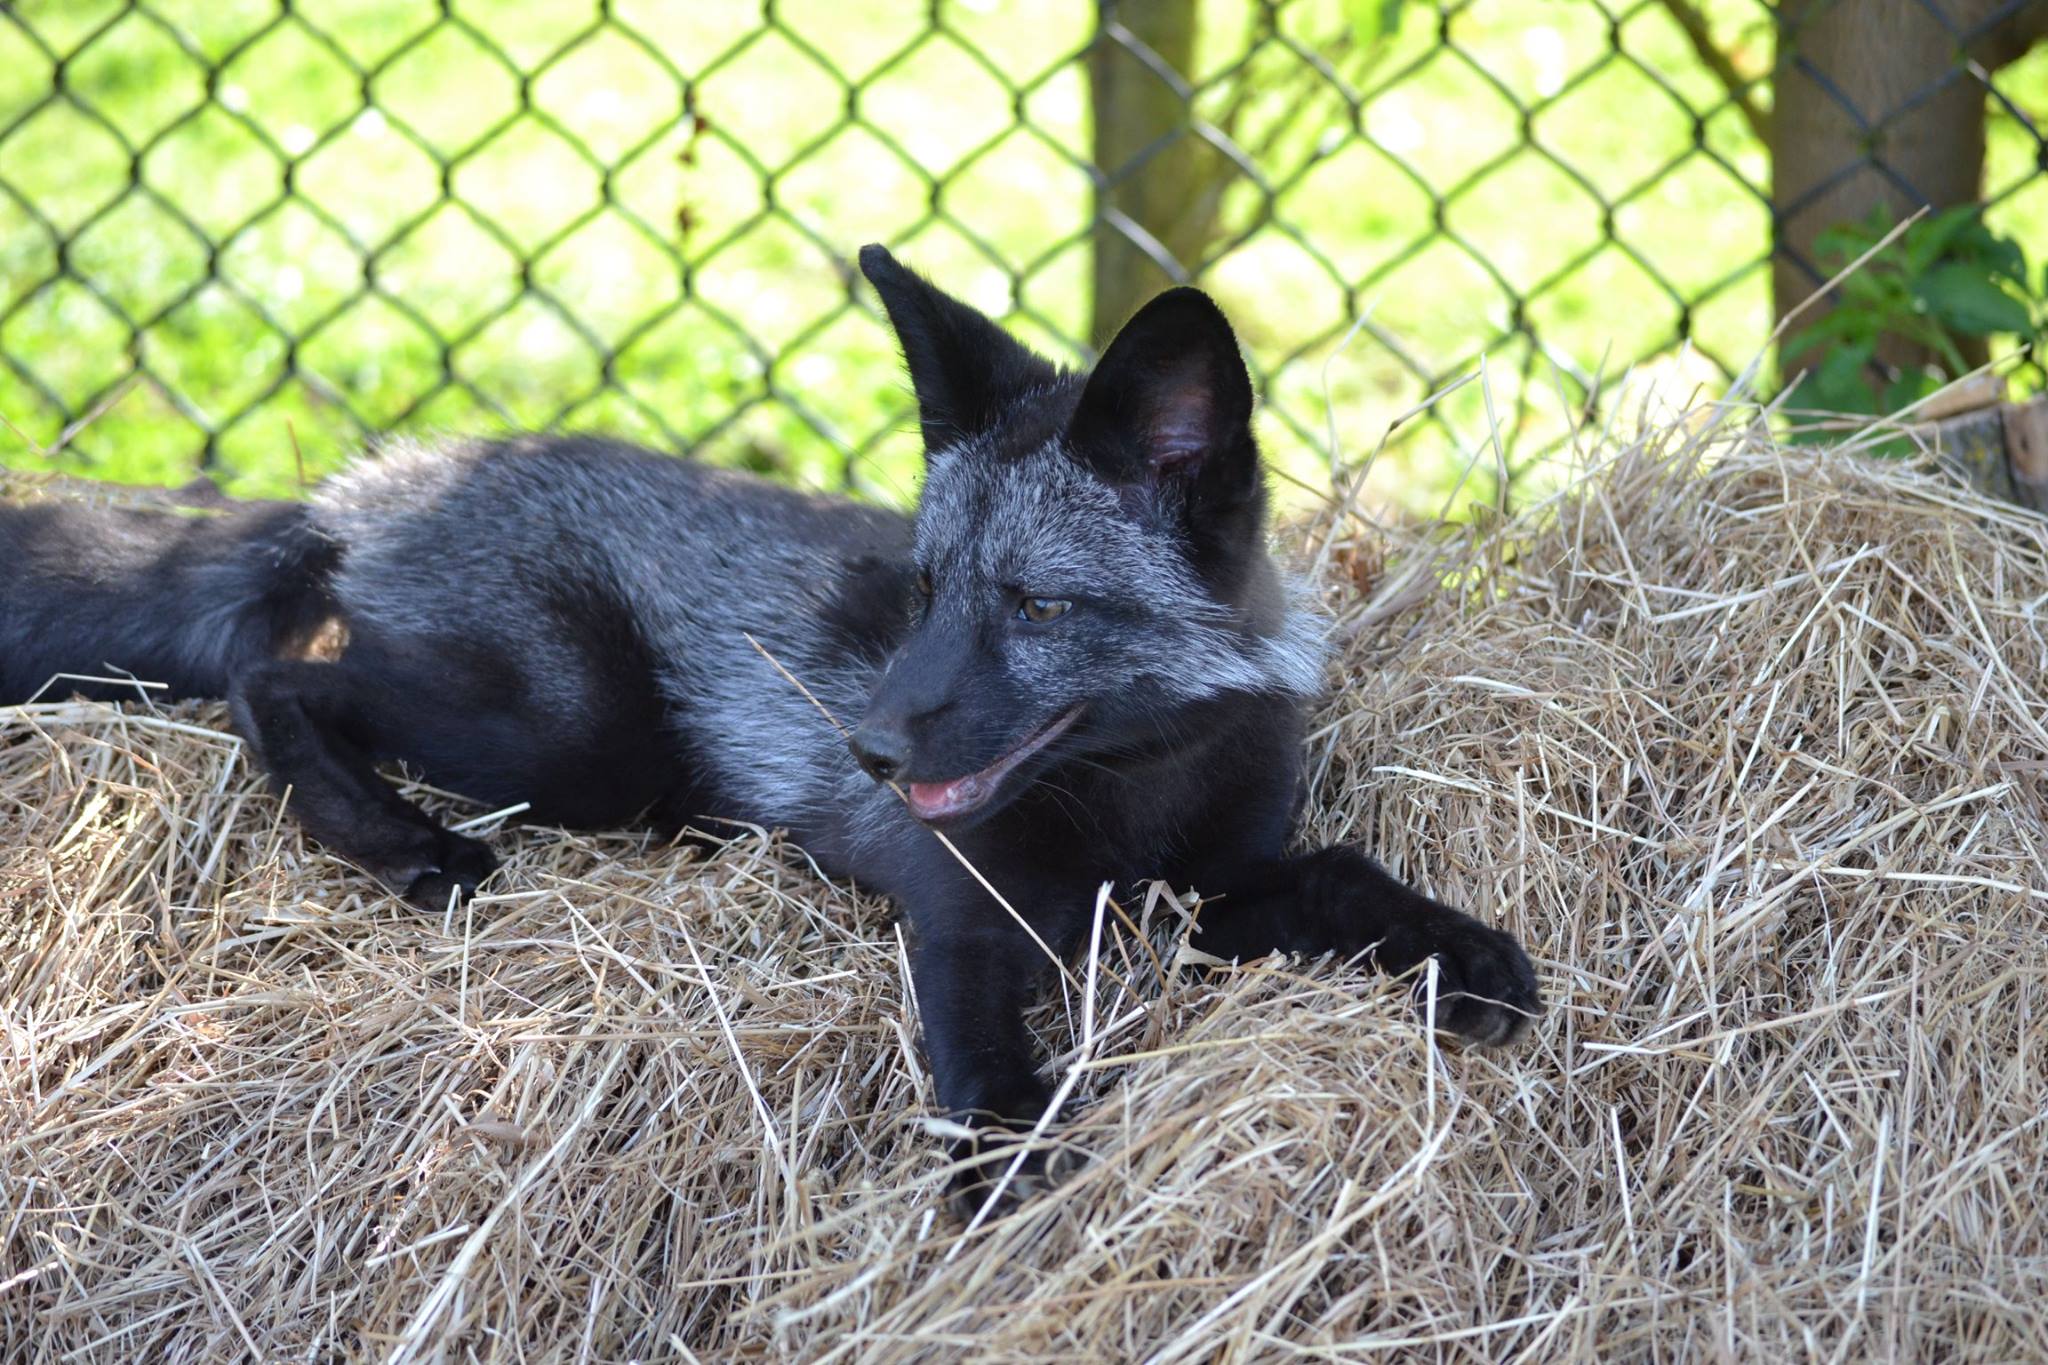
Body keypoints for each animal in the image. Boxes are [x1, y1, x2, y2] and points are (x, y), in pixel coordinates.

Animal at [0, 246, 1541, 1213]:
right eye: (921, 590)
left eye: (1035, 605)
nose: (863, 752)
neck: (1132, 800)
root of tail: (379, 478)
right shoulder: (959, 917)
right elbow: (983, 1070)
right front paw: (1011, 1171)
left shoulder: (1224, 883)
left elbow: (1346, 879)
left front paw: (1467, 958)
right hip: (578, 747)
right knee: (276, 682)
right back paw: (399, 841)